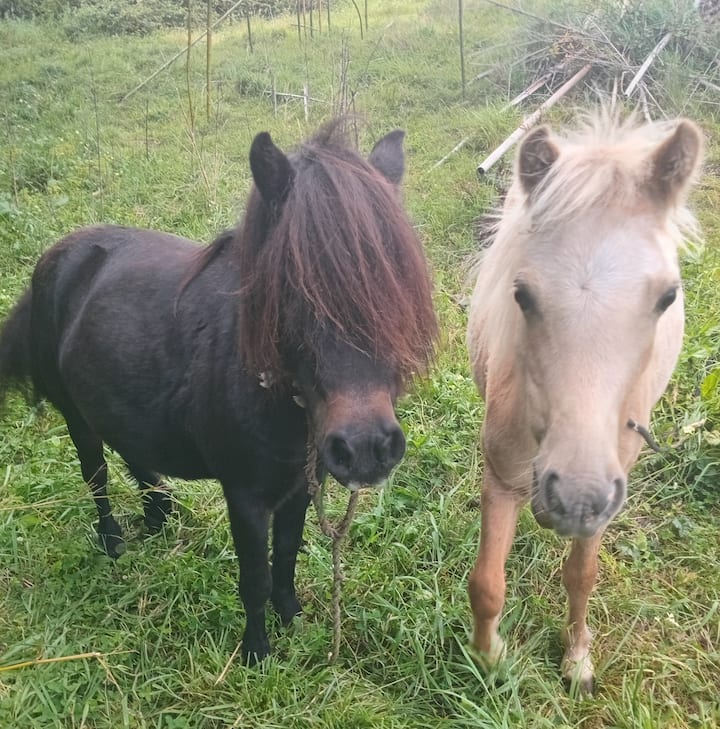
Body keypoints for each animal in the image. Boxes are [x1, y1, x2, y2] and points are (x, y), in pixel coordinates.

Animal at [0, 121, 438, 663]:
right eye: (291, 289)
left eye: (396, 281)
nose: (367, 449)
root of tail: (59, 255)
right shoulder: (245, 496)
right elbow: (255, 577)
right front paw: (256, 653)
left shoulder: (299, 486)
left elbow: (286, 556)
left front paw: (293, 620)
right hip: (74, 416)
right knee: (96, 474)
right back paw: (114, 541)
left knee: (132, 448)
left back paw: (159, 513)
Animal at [466, 112, 703, 692]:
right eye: (522, 294)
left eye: (668, 297)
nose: (575, 497)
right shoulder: (502, 474)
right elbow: (487, 582)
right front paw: (489, 661)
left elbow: (582, 574)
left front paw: (577, 660)